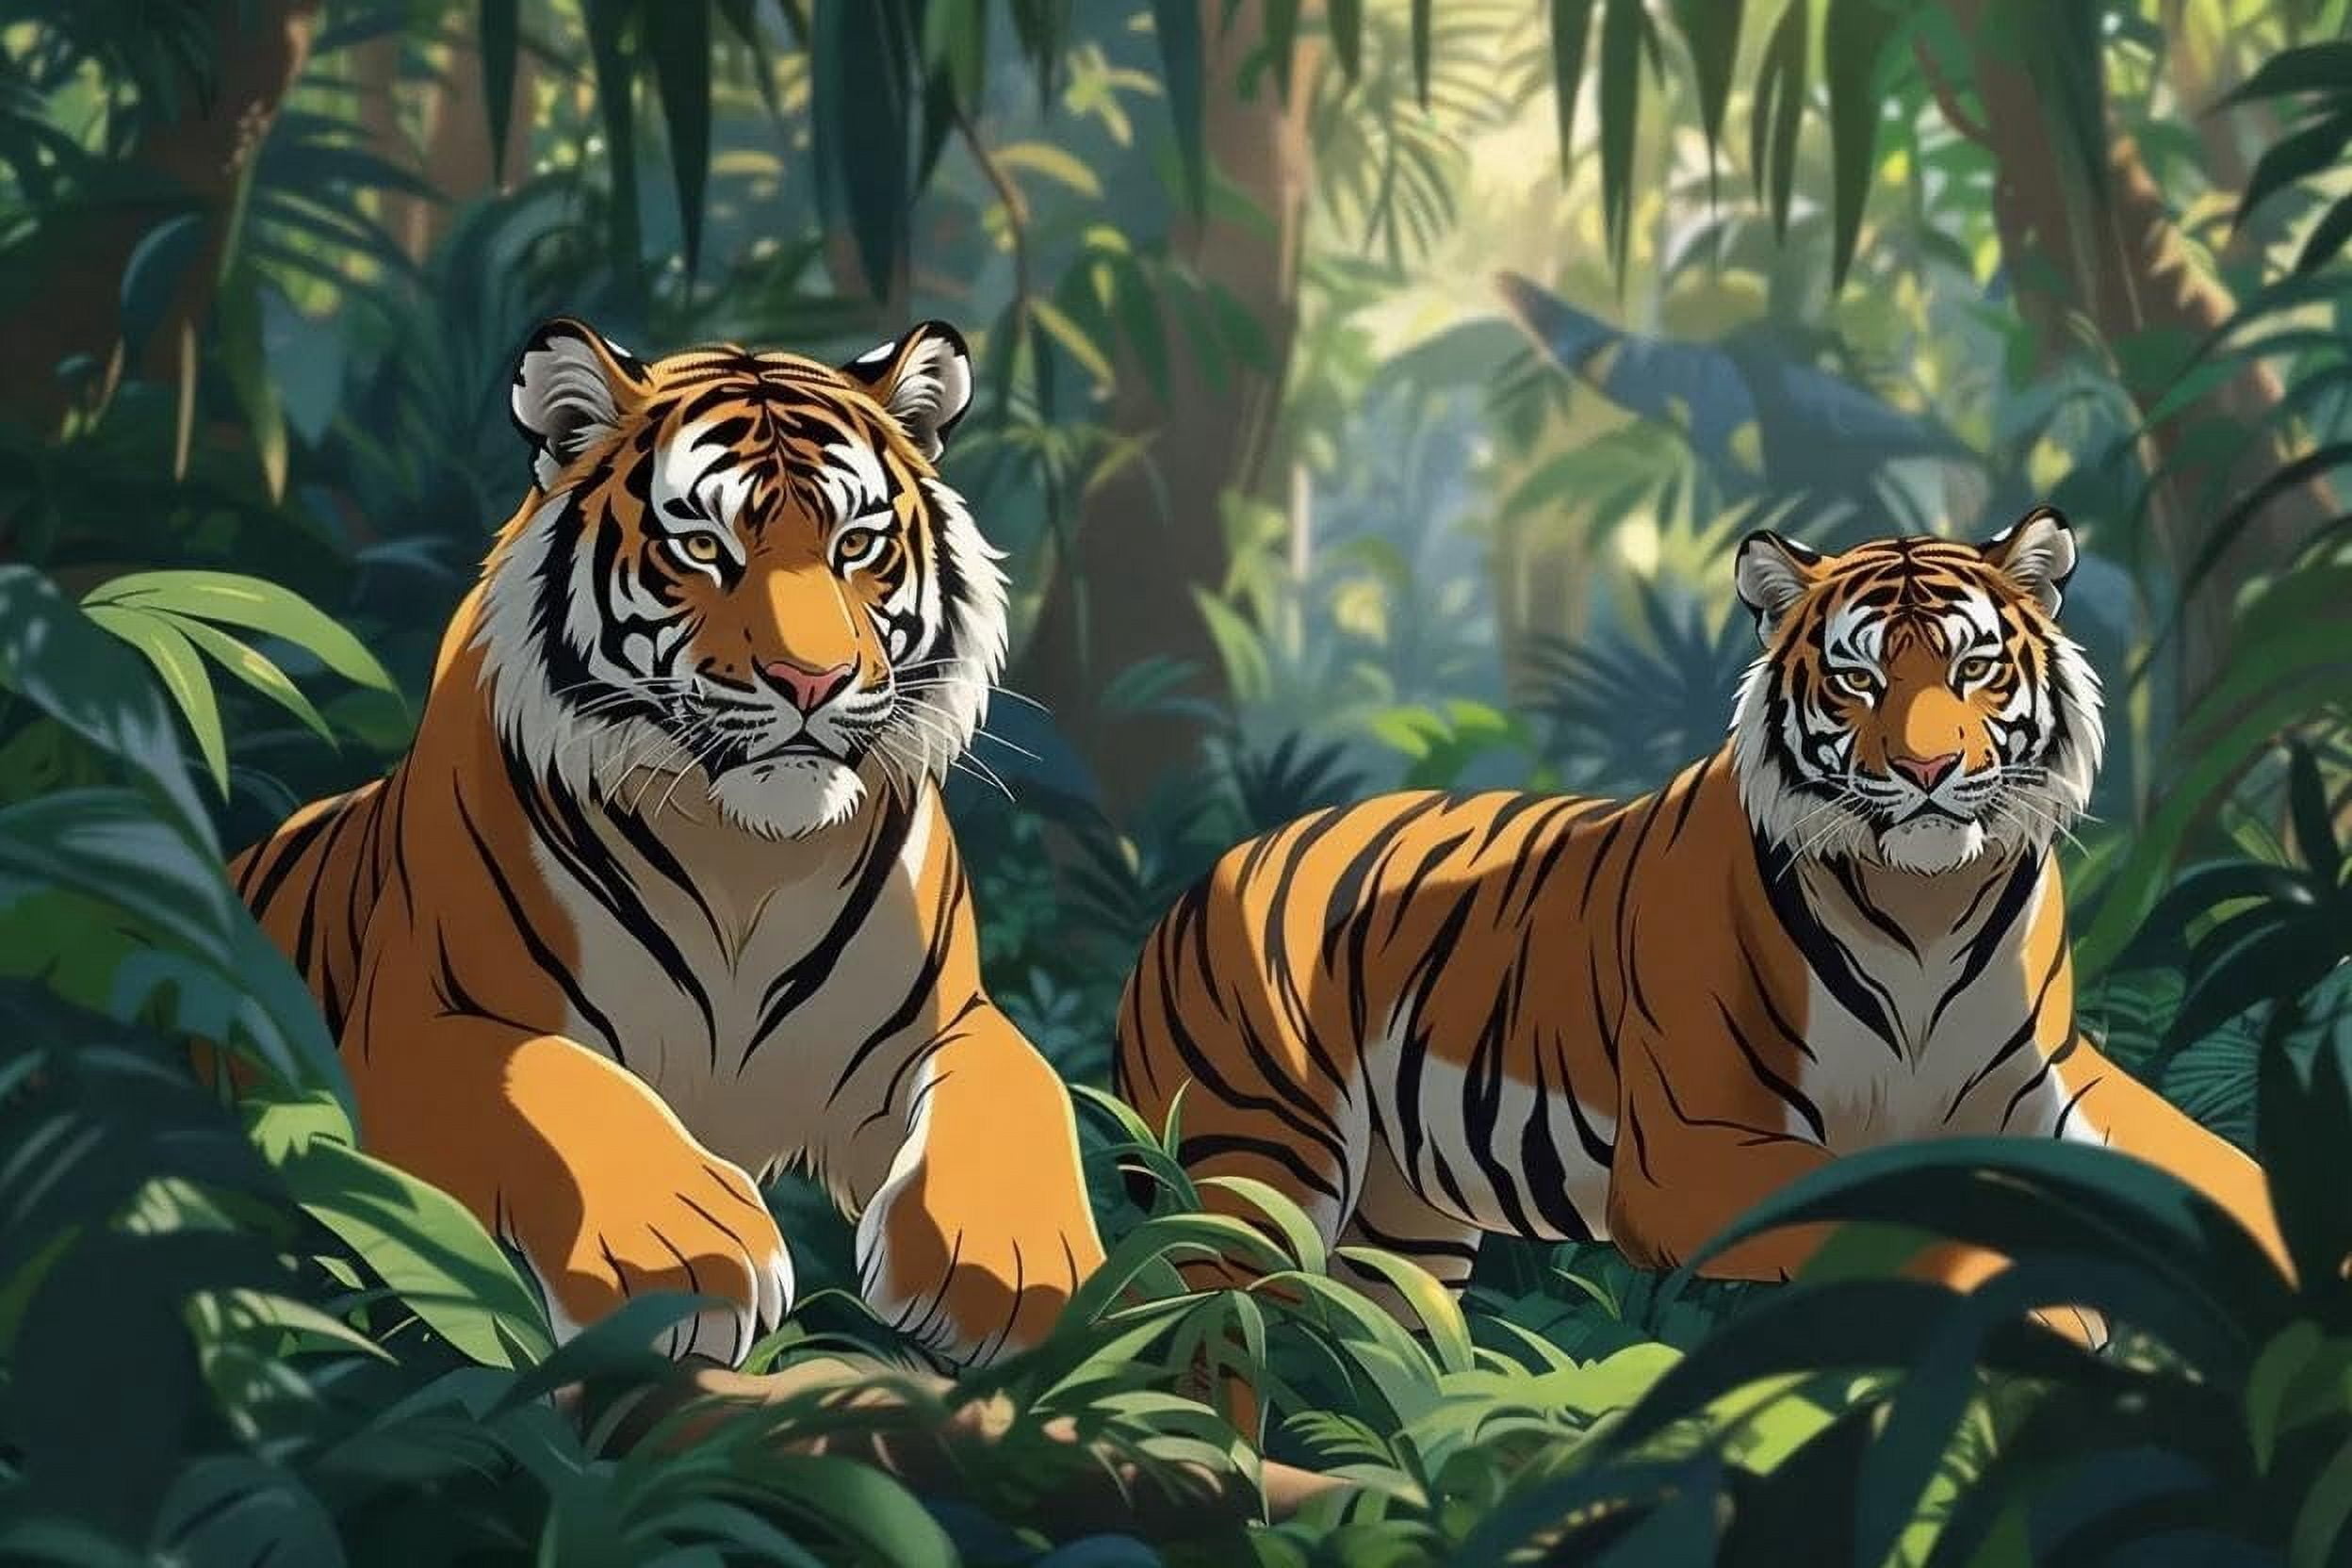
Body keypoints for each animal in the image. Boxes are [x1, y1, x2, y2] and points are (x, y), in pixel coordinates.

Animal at [229, 316, 1105, 1368]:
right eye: (700, 545)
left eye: (857, 544)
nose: (812, 681)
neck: (750, 858)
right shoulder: (419, 1027)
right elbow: (569, 1096)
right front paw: (682, 1259)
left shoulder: (941, 1019)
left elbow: (1022, 1088)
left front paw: (1010, 1261)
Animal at [1113, 509, 2289, 1357]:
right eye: (1859, 675)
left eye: (1972, 667)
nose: (1928, 770)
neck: (1925, 904)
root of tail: (1189, 888)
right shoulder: (1689, 1150)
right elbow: (1892, 1214)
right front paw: (2052, 1301)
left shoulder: (2041, 1083)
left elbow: (2215, 1165)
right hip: (1257, 1169)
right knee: (1192, 1337)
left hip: (1404, 1225)